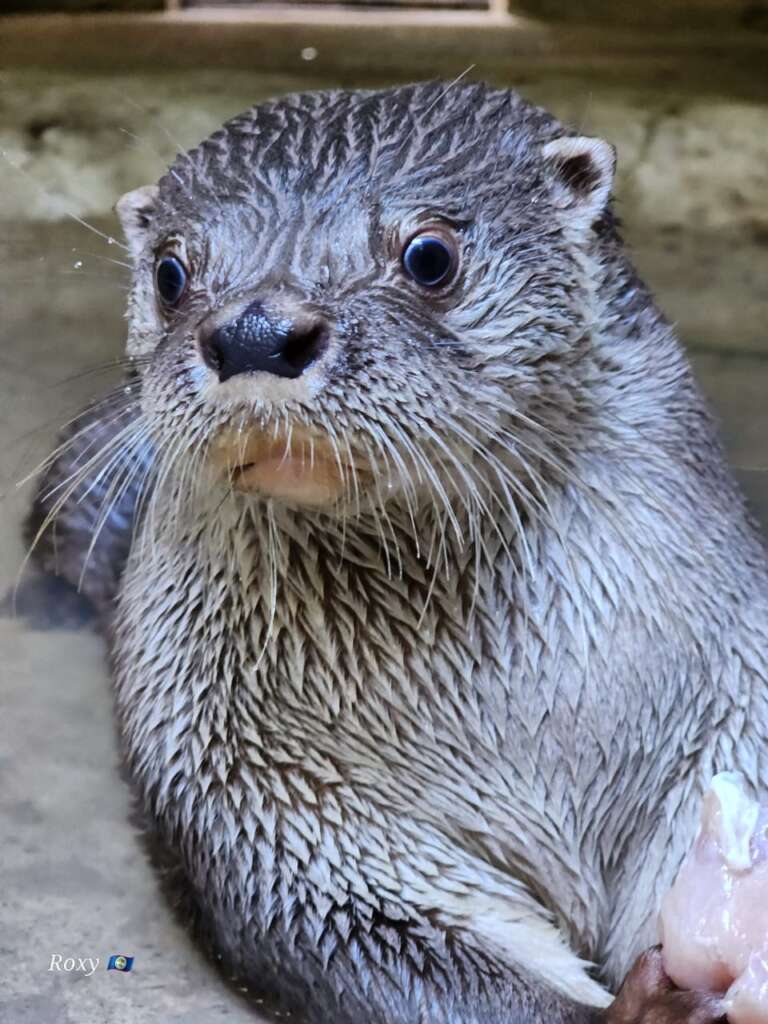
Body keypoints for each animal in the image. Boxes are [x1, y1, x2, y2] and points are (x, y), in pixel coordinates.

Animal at [26, 82, 768, 1024]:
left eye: (429, 256)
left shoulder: (734, 686)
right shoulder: (235, 775)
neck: (519, 721)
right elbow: (375, 928)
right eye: (169, 273)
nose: (256, 331)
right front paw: (635, 1009)